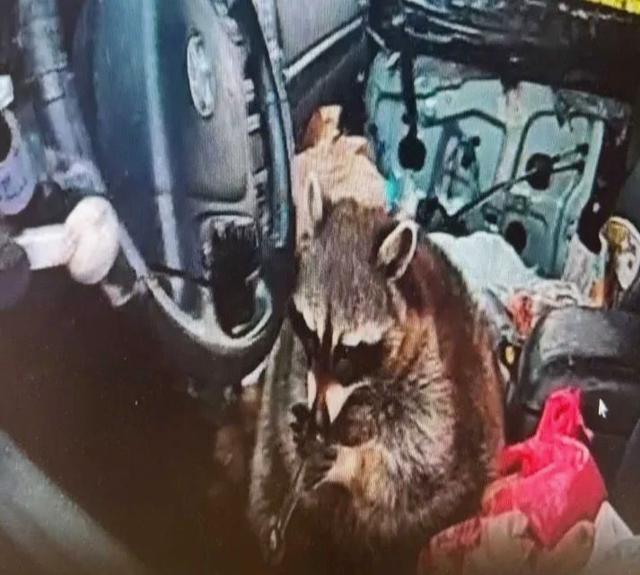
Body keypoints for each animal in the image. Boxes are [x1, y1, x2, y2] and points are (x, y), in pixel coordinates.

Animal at [248, 177, 505, 575]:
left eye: (348, 352)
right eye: (310, 332)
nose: (319, 420)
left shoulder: (435, 382)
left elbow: (413, 467)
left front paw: (349, 461)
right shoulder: (292, 359)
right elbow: (288, 402)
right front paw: (307, 439)